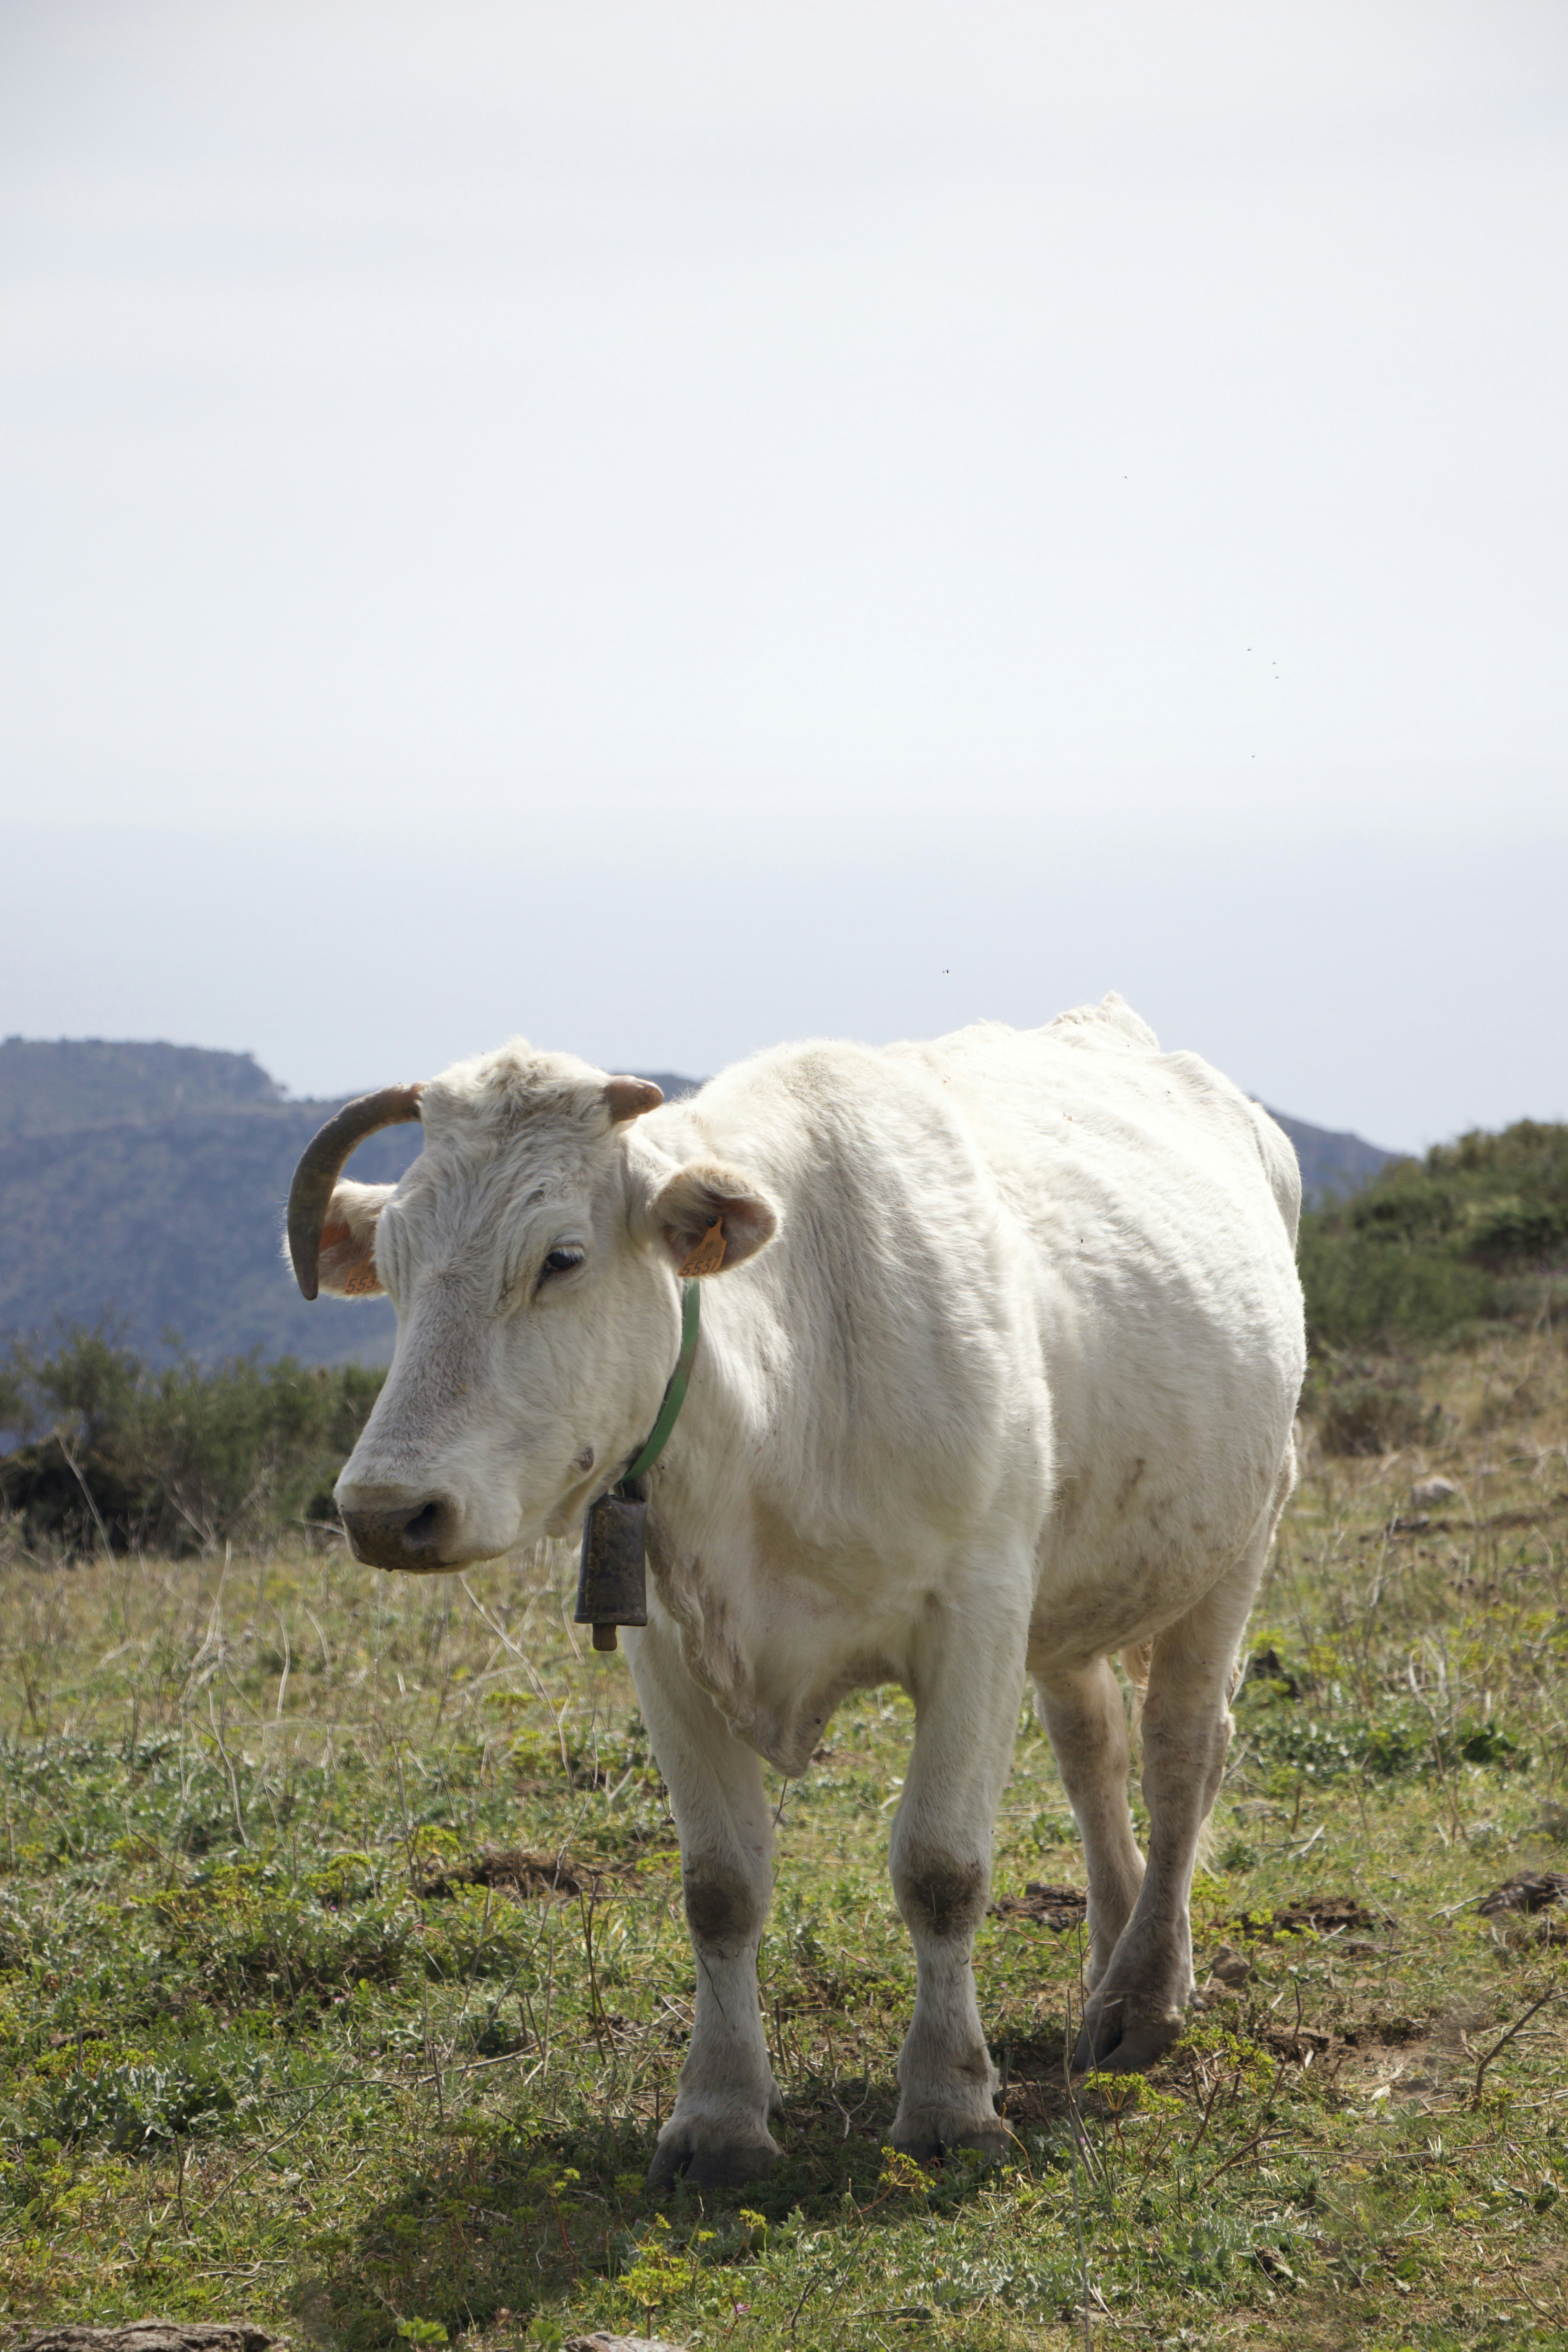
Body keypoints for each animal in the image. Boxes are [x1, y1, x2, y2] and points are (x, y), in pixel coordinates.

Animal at [286, 995, 1304, 2187]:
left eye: (561, 1257)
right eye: (391, 1265)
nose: (384, 1508)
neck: (783, 1405)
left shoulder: (977, 1612)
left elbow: (942, 1868)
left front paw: (949, 2101)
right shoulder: (667, 1649)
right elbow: (720, 1886)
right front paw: (720, 2114)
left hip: (1240, 1535)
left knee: (1181, 1749)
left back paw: (1144, 1996)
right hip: (1072, 1591)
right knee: (1090, 1748)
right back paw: (1108, 1961)